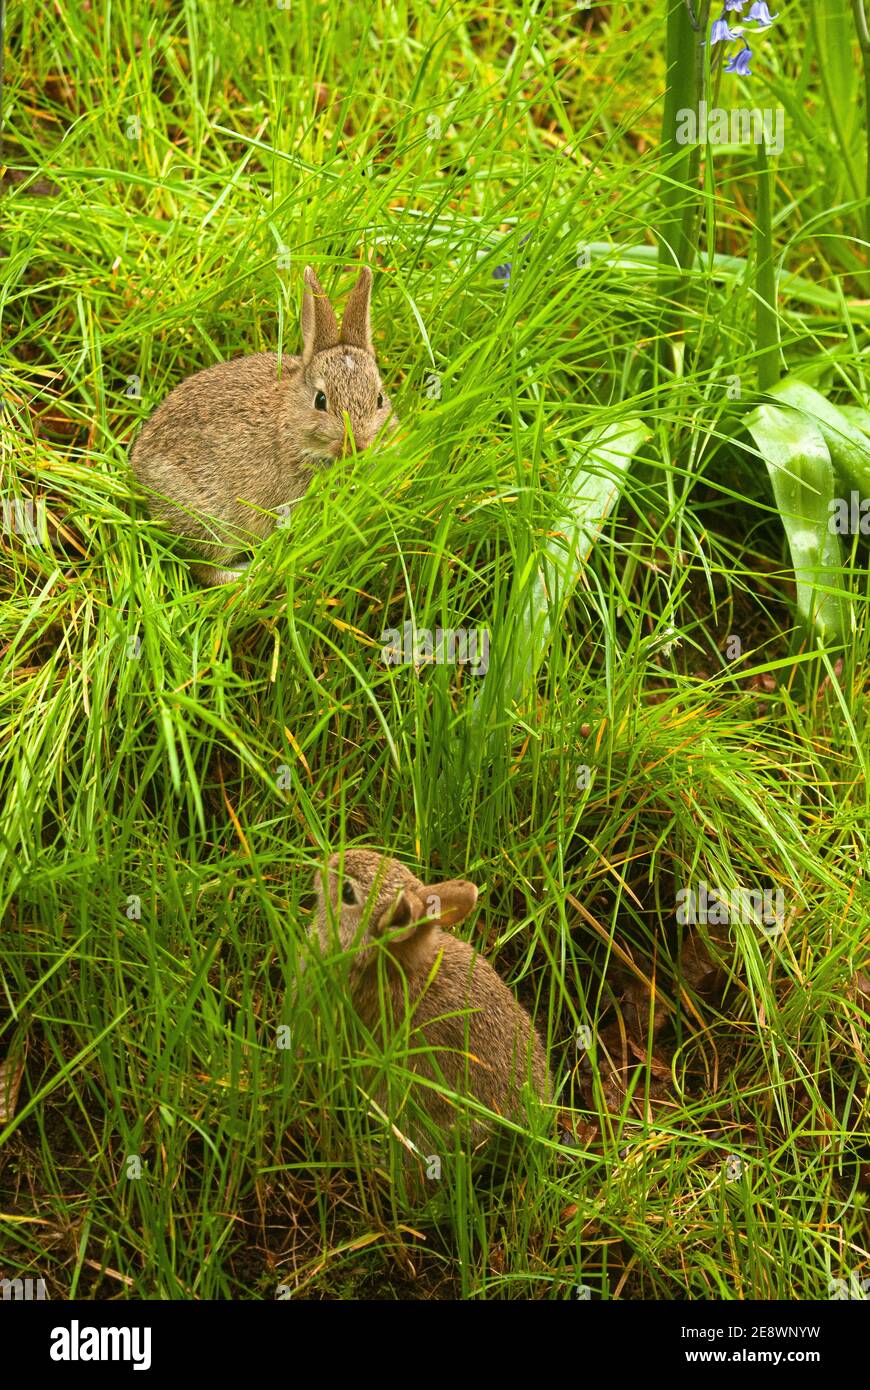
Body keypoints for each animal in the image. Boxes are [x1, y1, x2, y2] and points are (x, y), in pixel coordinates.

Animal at [130, 265, 397, 586]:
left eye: (379, 399)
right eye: (320, 400)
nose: (357, 445)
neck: (291, 426)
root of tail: (138, 470)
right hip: (211, 518)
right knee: (204, 567)